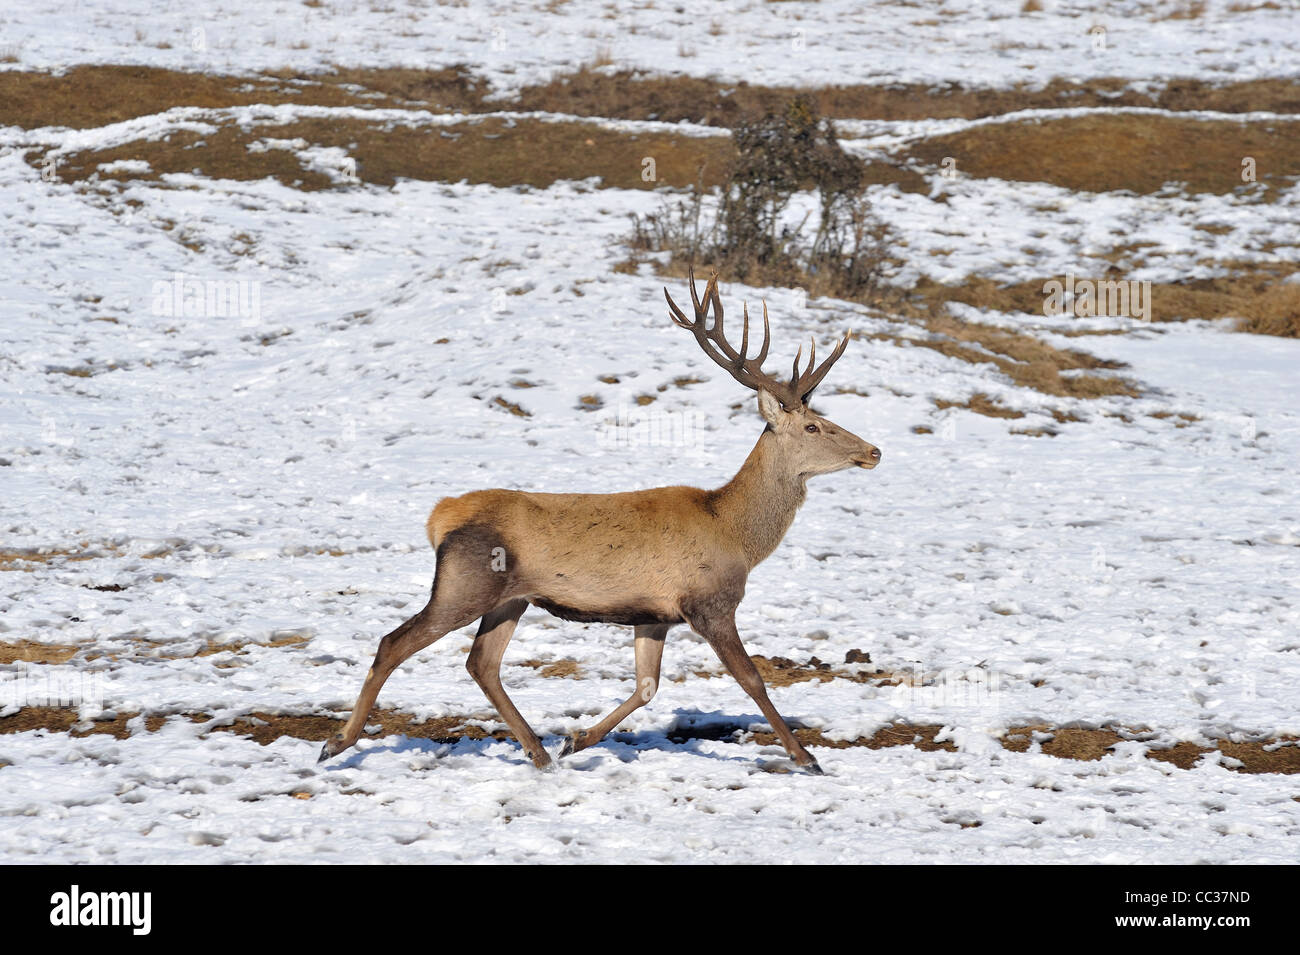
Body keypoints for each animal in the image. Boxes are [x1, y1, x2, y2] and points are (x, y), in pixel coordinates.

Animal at [318, 269, 880, 775]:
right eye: (814, 426)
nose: (873, 450)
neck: (736, 533)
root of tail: (440, 516)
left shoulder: (654, 613)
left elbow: (647, 687)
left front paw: (576, 740)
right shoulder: (709, 602)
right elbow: (752, 679)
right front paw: (806, 757)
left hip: (511, 598)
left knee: (482, 663)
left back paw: (540, 752)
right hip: (464, 583)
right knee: (395, 643)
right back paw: (337, 743)